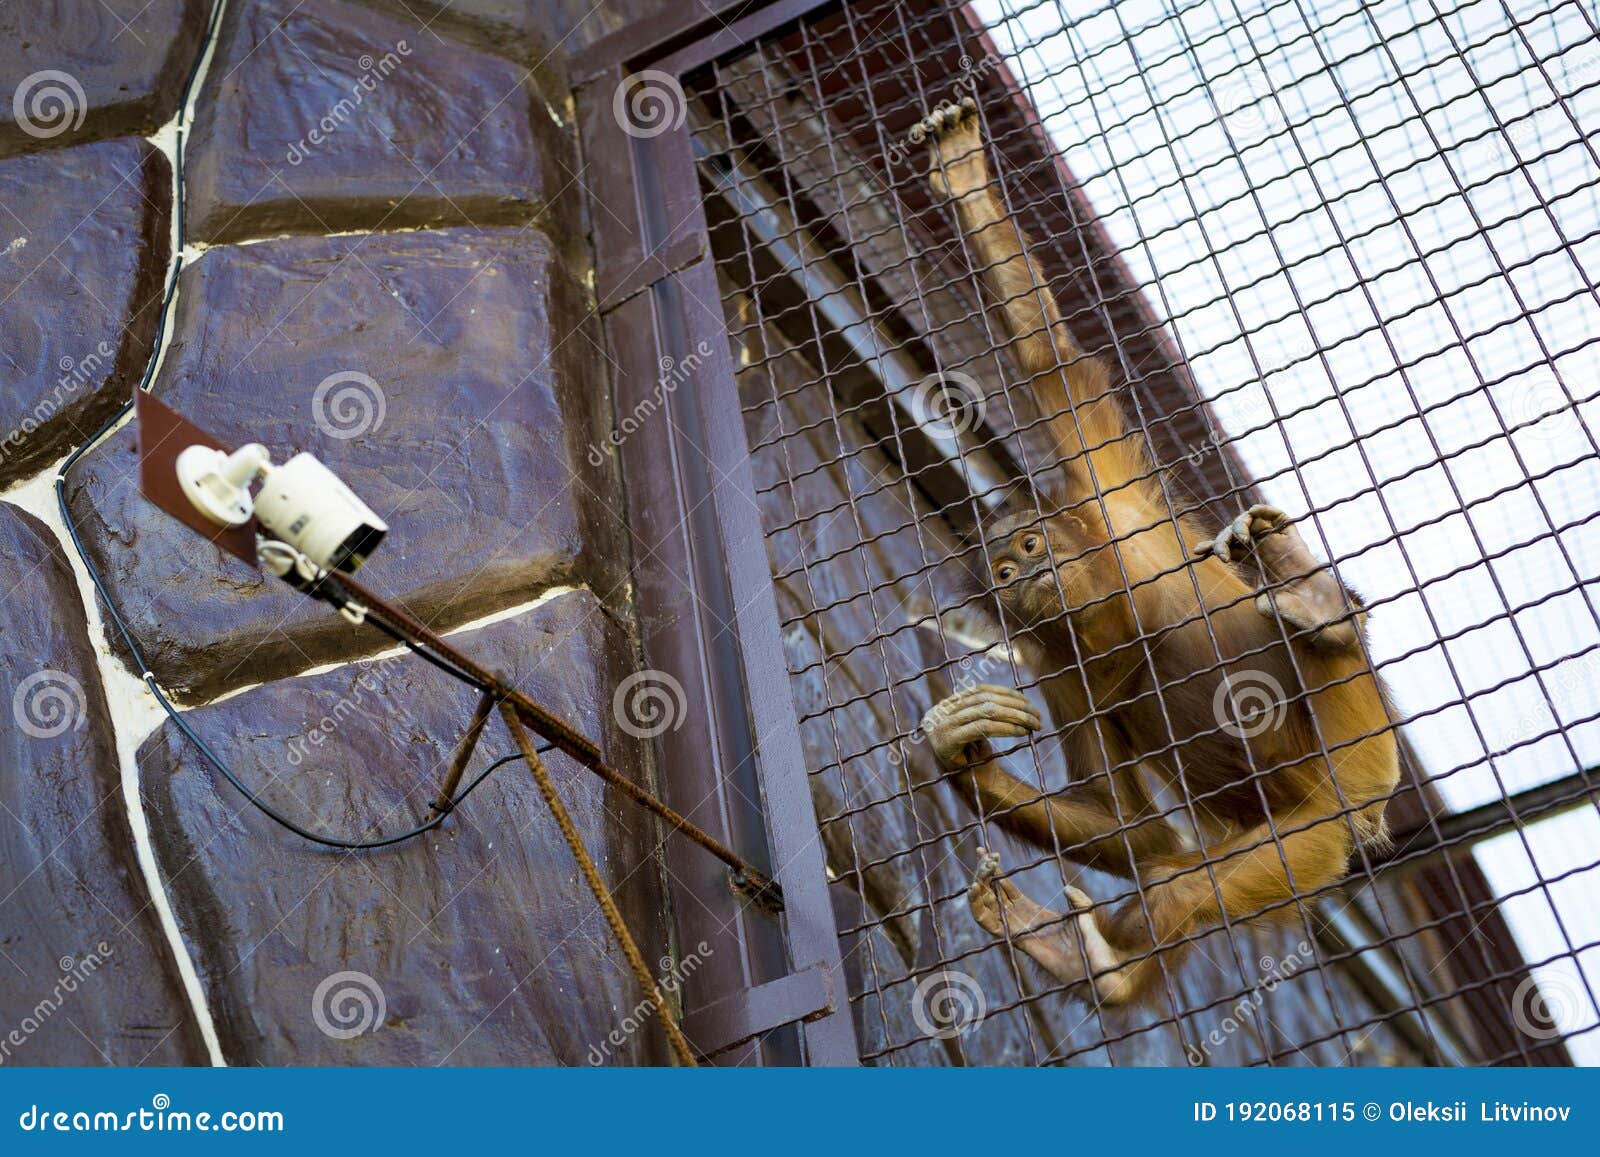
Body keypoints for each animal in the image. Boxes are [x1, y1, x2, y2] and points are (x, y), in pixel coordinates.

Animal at [915, 98, 1399, 1006]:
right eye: (1005, 573)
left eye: (1031, 541)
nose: (1034, 574)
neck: (1111, 606)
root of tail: (1349, 803)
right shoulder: (1058, 671)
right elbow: (1128, 822)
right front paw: (965, 756)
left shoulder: (1104, 493)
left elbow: (1048, 361)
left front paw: (964, 176)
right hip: (1303, 838)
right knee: (1183, 880)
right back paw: (1089, 962)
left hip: (1357, 755)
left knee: (1323, 660)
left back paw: (1311, 601)